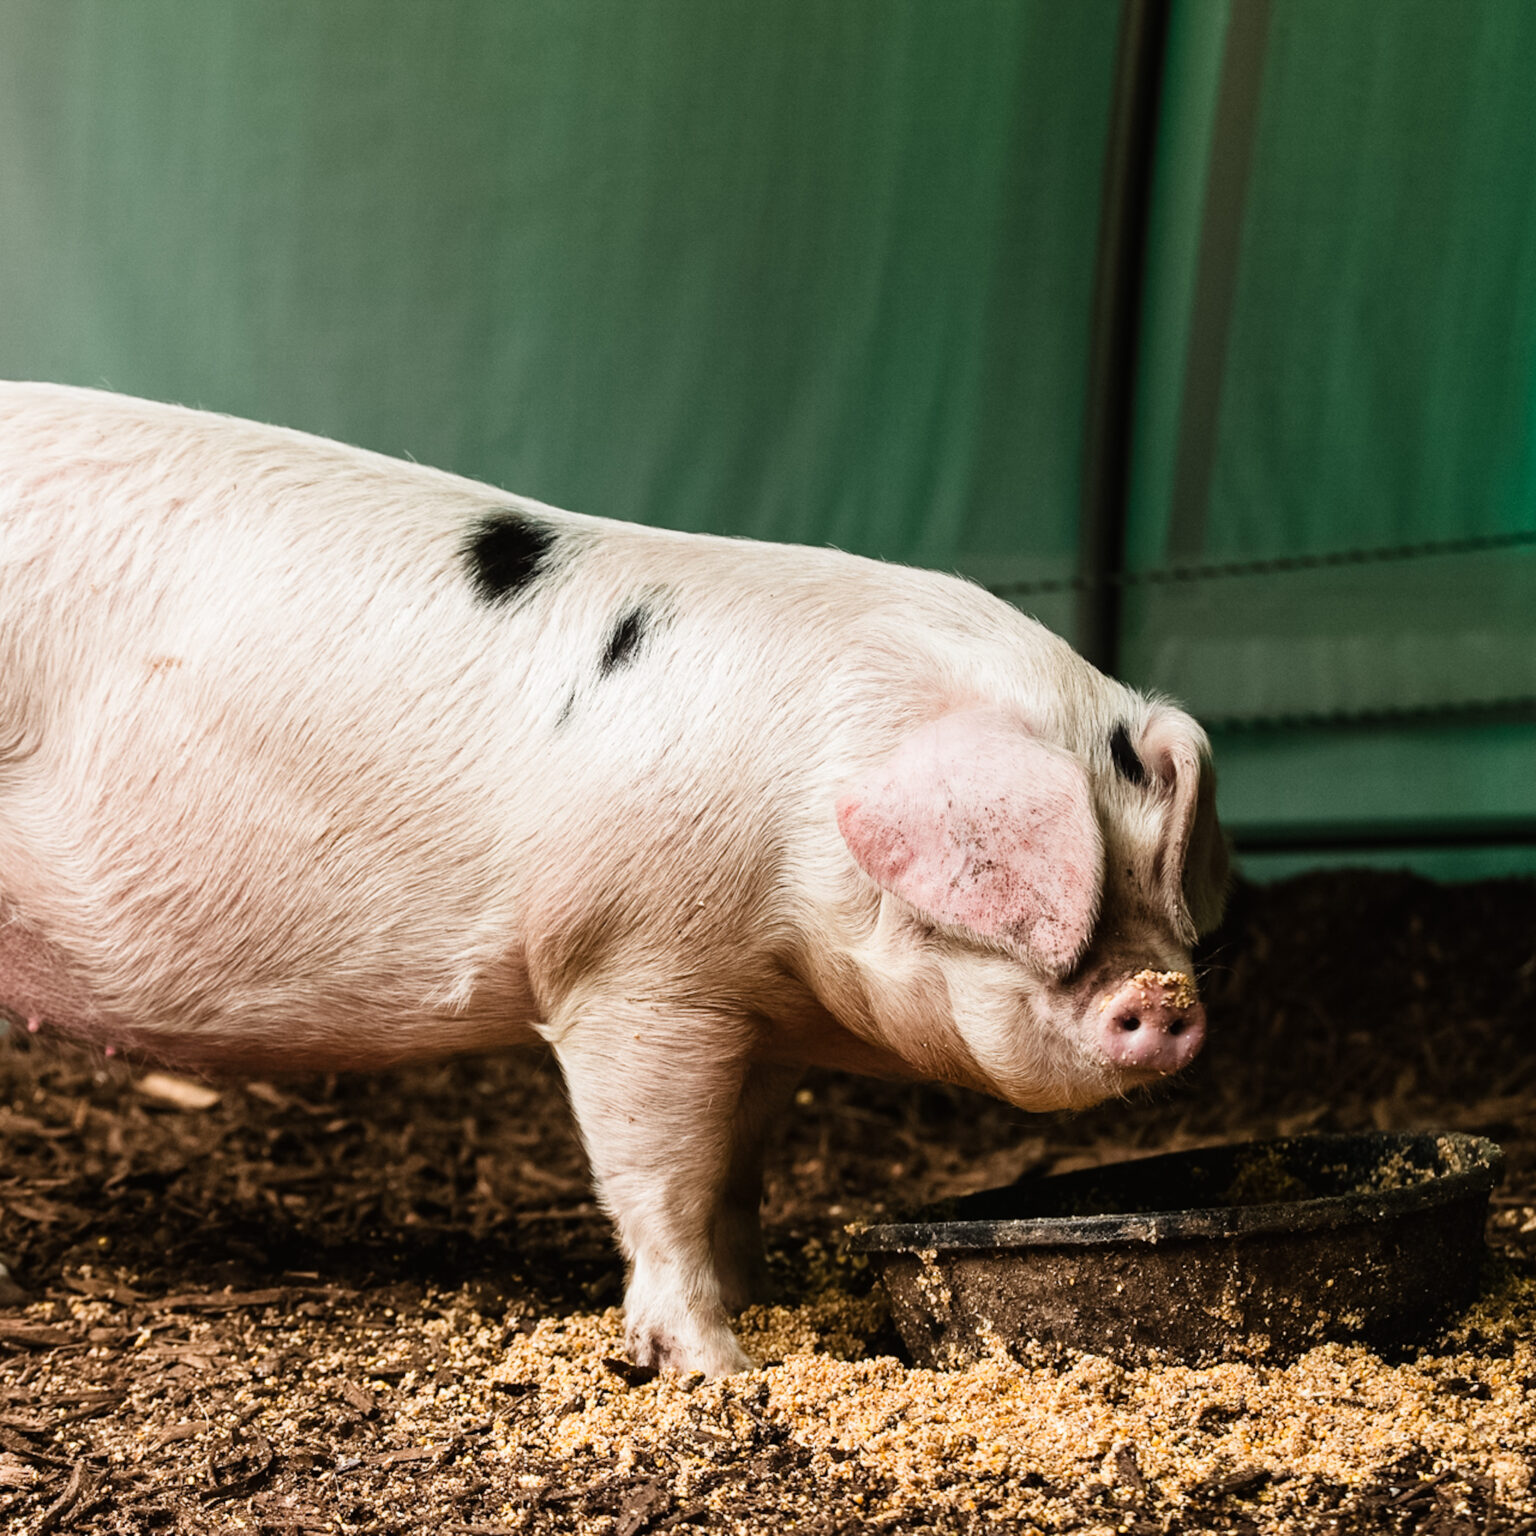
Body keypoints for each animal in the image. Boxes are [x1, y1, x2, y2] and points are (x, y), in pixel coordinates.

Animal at [0, 382, 1228, 1376]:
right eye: (1058, 895)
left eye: (1156, 876)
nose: (1167, 1005)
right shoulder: (633, 971)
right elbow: (663, 1176)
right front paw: (720, 1367)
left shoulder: (757, 1018)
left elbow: (737, 1173)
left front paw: (768, 1300)